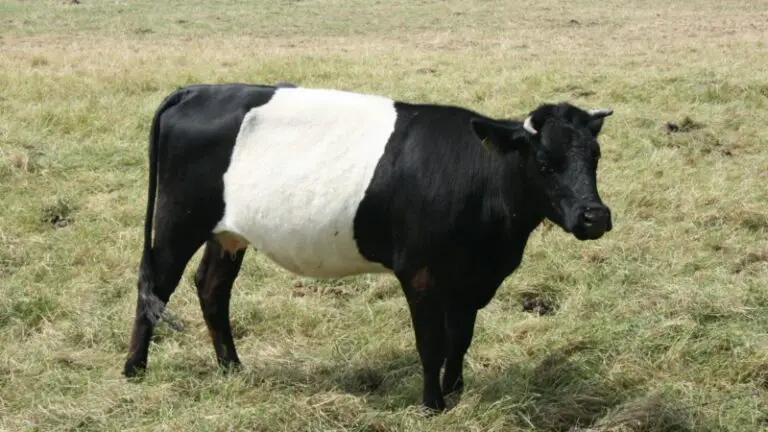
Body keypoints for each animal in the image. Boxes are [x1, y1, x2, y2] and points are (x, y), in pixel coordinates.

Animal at [122, 83, 614, 412]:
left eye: (595, 157)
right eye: (545, 163)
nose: (595, 216)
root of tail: (197, 89)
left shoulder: (471, 279)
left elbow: (460, 340)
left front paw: (456, 393)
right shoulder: (421, 273)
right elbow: (431, 343)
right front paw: (433, 405)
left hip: (227, 233)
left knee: (211, 288)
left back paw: (232, 367)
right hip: (178, 221)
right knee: (156, 286)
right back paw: (134, 369)